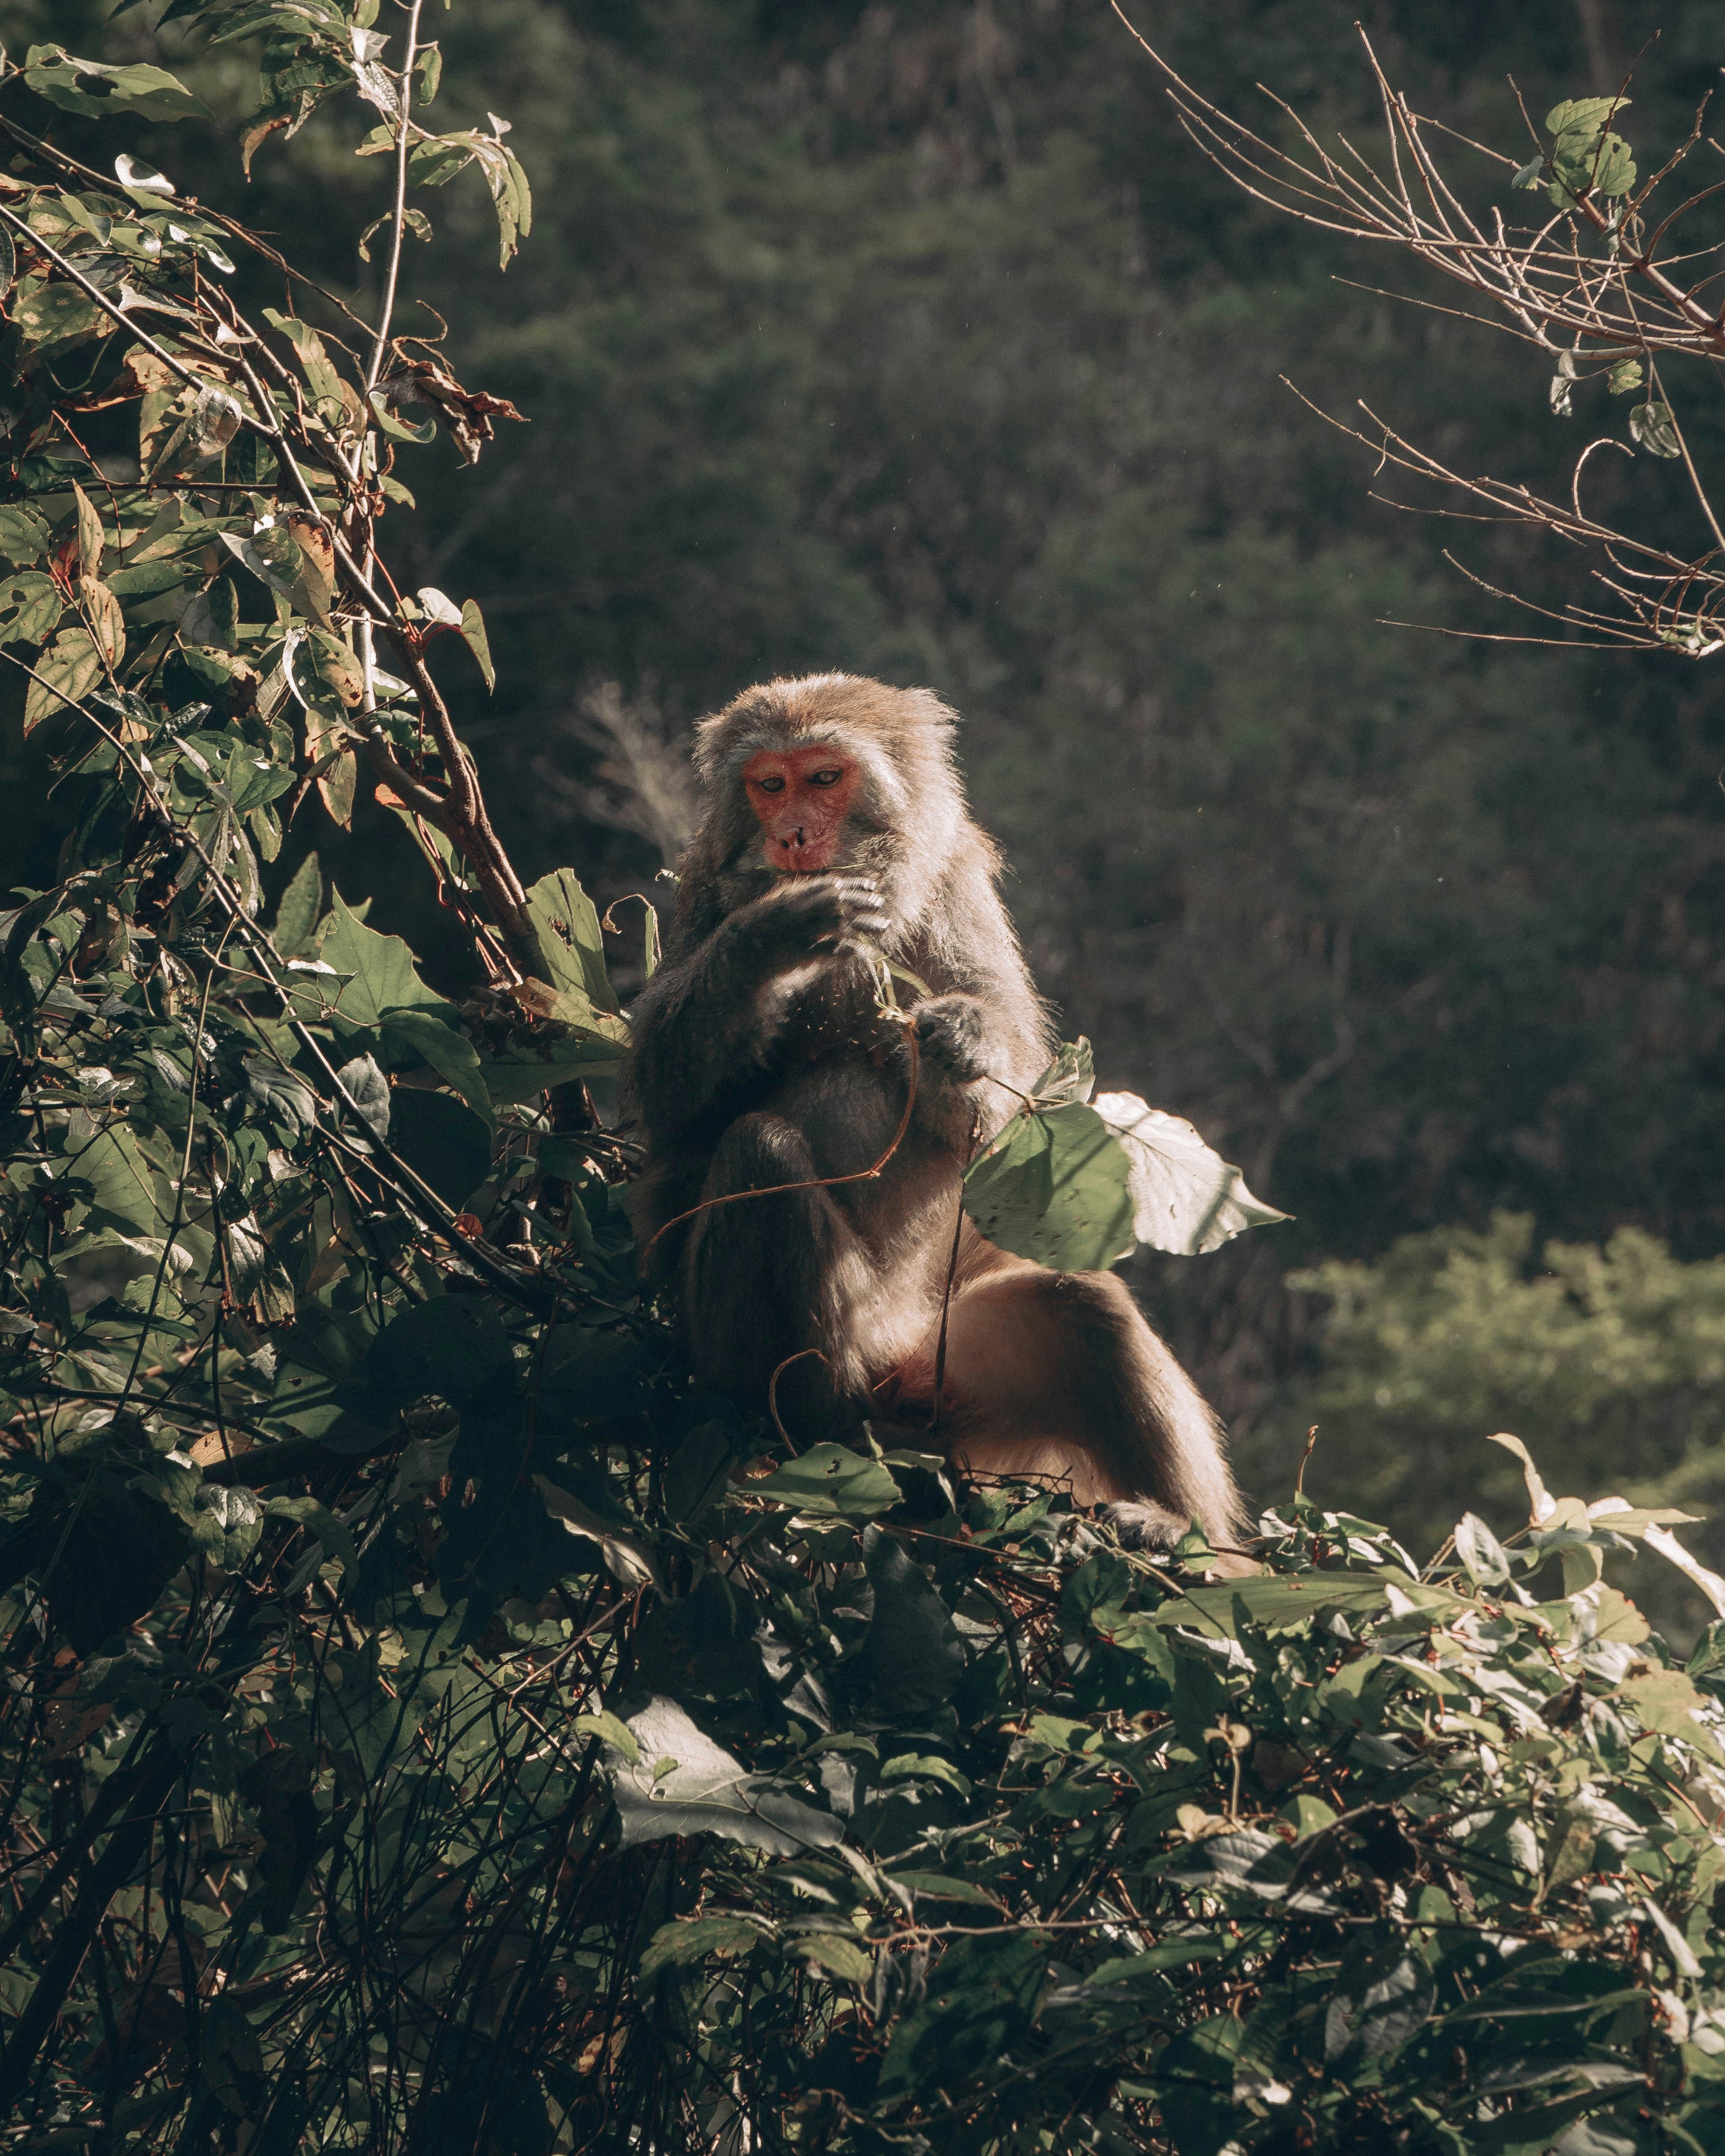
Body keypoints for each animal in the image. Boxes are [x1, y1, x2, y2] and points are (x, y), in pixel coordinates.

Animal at [624, 673, 1250, 1562]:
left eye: (823, 778)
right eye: (768, 784)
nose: (792, 835)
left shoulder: (954, 886)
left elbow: (1012, 1105)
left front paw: (958, 1040)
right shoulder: (703, 886)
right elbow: (669, 1110)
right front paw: (774, 933)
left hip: (951, 1377)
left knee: (1079, 1304)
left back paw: (1190, 1536)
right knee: (758, 1153)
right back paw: (798, 1424)